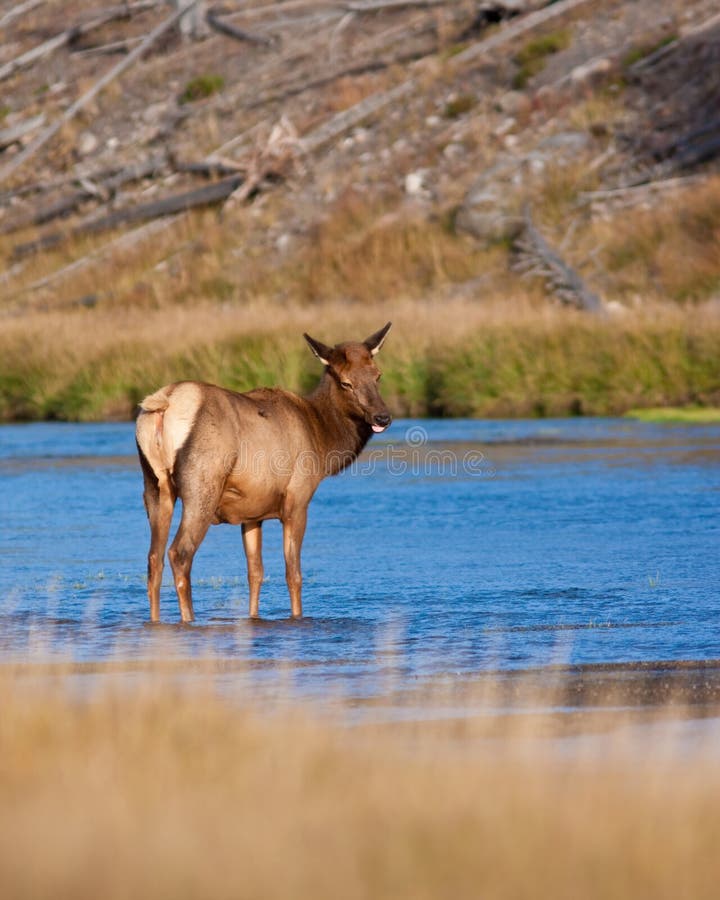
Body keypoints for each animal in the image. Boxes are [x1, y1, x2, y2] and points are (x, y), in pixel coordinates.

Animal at [135, 323, 392, 623]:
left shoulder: (251, 513)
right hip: (201, 487)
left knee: (154, 559)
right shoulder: (297, 499)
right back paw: (189, 619)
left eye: (378, 375)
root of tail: (163, 405)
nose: (382, 417)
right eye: (345, 382)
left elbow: (255, 573)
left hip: (154, 486)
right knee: (180, 553)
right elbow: (293, 574)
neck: (322, 439)